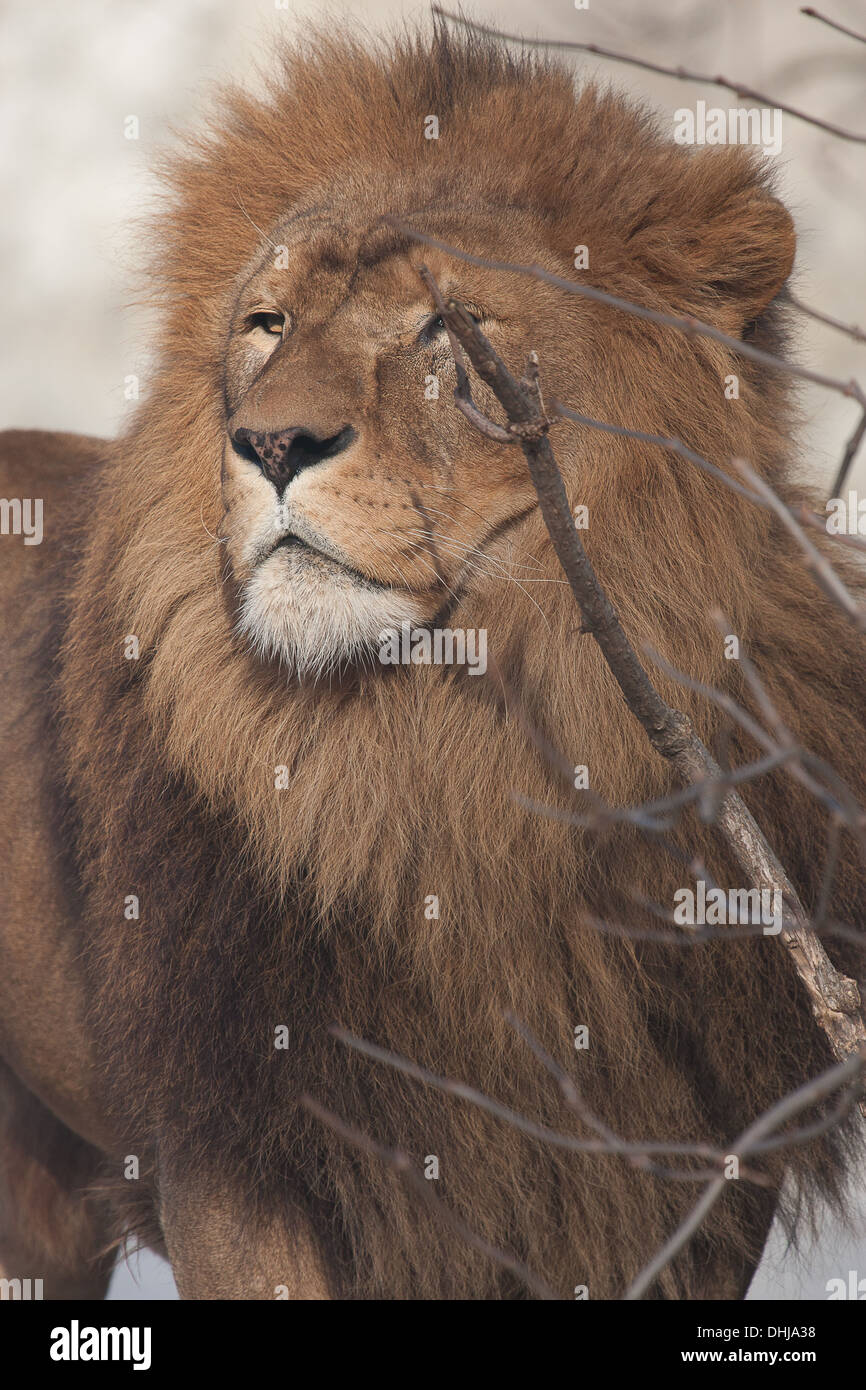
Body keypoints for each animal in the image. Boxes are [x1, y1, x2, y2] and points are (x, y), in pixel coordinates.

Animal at [1, 26, 864, 1301]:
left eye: (442, 333)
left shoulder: (691, 1177)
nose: (269, 441)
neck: (445, 753)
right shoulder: (238, 1157)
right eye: (267, 323)